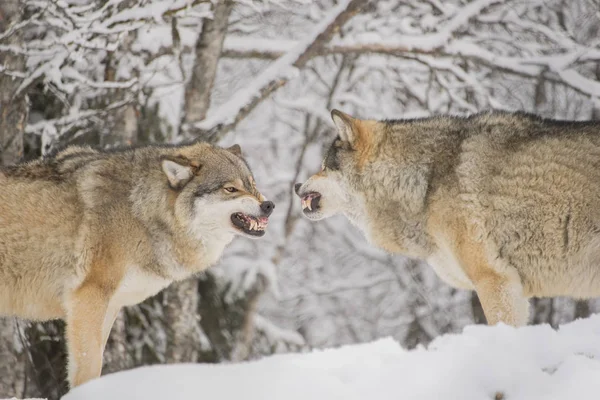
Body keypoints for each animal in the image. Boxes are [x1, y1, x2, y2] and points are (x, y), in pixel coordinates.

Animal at [0, 141, 276, 388]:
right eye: (231, 189)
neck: (140, 212)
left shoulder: (110, 306)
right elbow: (88, 366)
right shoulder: (89, 297)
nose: (269, 205)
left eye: (252, 185)